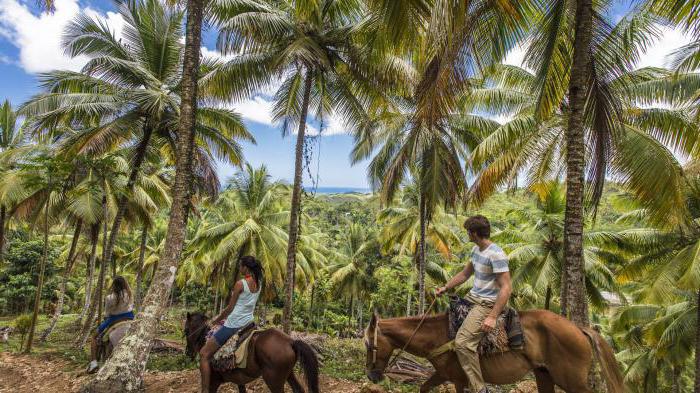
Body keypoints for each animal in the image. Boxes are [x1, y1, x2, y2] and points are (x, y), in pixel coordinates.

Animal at [185, 312, 318, 392]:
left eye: (186, 331)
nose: (188, 353)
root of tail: (290, 342)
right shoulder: (239, 381)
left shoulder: (213, 381)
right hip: (289, 374)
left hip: (273, 380)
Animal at [366, 310, 624, 392]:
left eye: (369, 344)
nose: (371, 375)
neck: (436, 335)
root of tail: (578, 328)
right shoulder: (443, 375)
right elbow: (423, 388)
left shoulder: (460, 379)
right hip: (544, 374)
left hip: (570, 380)